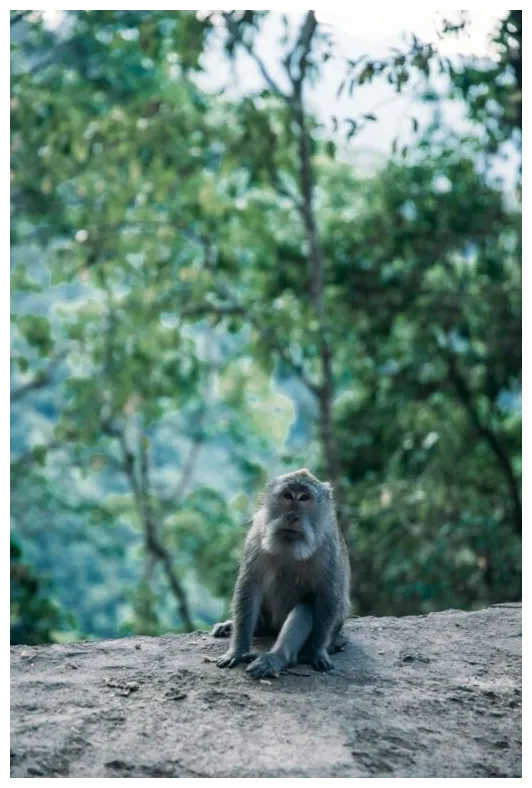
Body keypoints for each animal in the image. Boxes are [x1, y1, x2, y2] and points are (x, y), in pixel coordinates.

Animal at [212, 468, 350, 679]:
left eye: (304, 498)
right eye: (287, 496)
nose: (292, 516)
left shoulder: (328, 544)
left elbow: (327, 594)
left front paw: (317, 653)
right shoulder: (257, 533)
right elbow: (250, 586)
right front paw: (237, 652)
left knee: (306, 607)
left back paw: (276, 658)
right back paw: (234, 627)